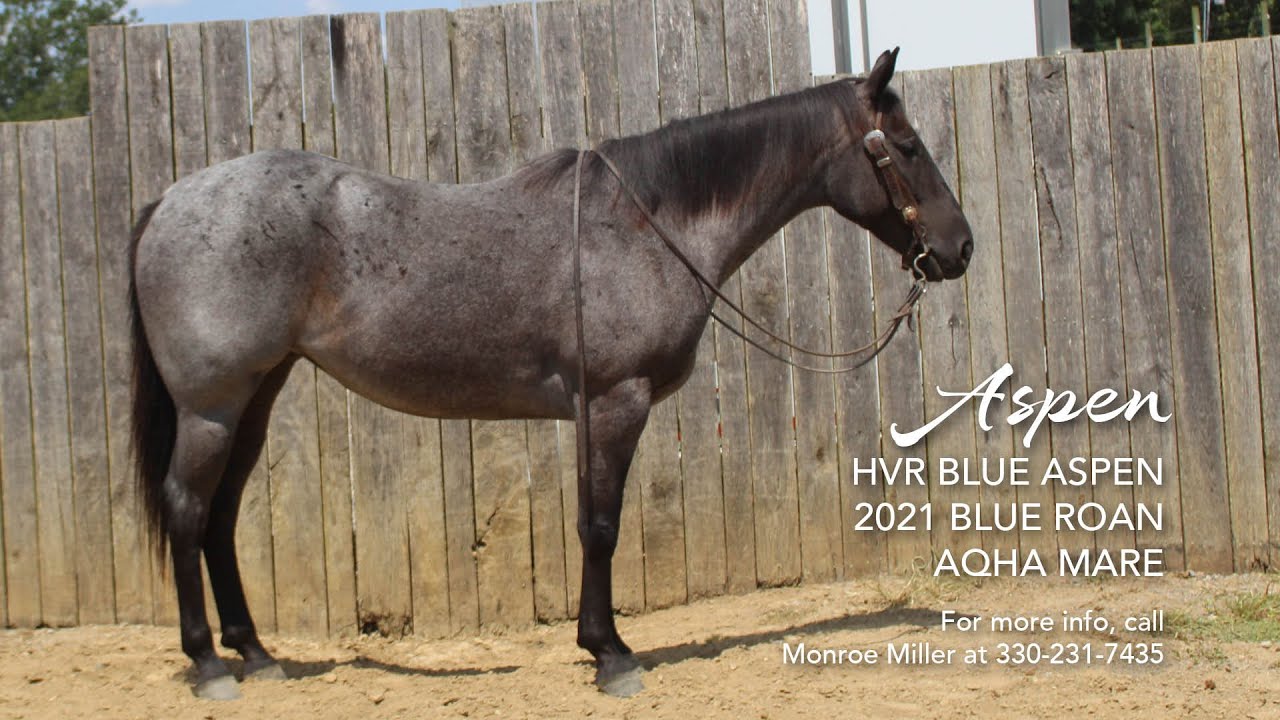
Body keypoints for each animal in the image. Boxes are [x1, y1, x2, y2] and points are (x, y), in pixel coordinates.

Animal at [128, 47, 972, 700]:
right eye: (907, 145)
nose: (959, 248)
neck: (644, 225)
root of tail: (171, 197)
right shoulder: (614, 402)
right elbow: (600, 526)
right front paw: (610, 654)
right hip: (212, 405)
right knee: (188, 509)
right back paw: (209, 664)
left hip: (255, 395)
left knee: (221, 515)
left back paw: (256, 653)